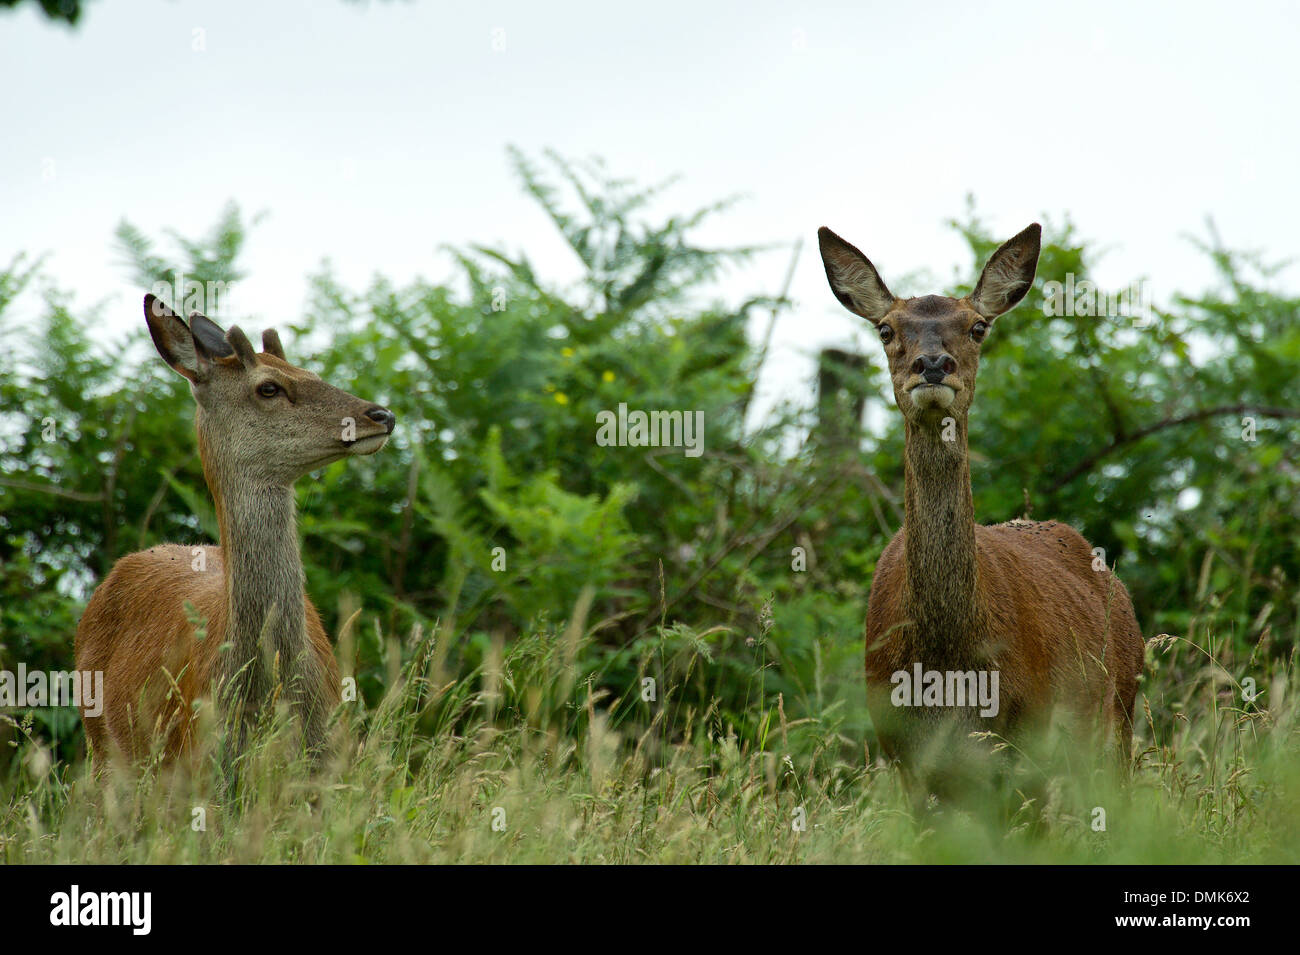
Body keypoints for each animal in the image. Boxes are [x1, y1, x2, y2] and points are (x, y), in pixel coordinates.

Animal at [817, 222, 1145, 804]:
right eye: (885, 329)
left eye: (977, 327)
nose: (932, 364)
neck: (949, 668)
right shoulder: (902, 754)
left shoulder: (1026, 741)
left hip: (1120, 717)